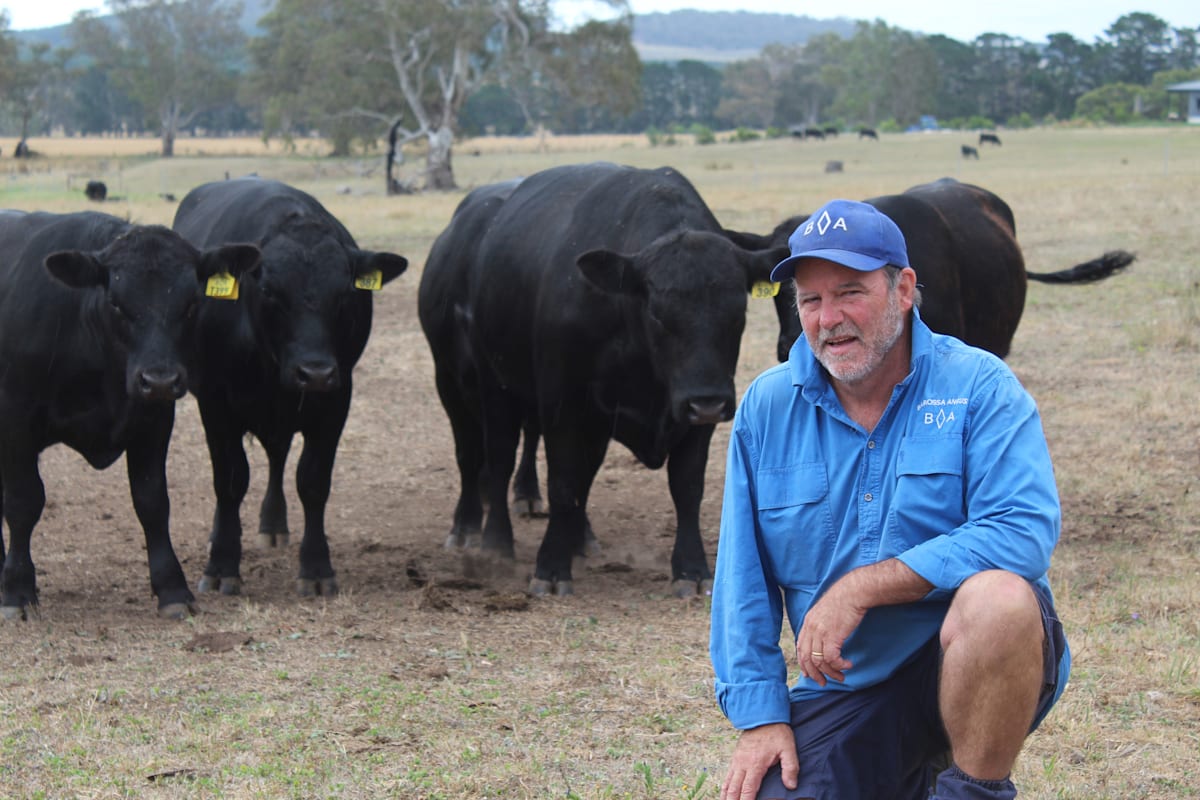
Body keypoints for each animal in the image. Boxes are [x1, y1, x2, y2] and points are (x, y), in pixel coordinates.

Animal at [0, 210, 260, 620]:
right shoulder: (15, 419)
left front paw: (172, 588)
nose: (159, 379)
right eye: (117, 303)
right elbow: (24, 502)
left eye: (191, 303)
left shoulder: (153, 420)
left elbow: (152, 501)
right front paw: (17, 591)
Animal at [171, 177, 408, 598]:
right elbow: (230, 481)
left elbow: (312, 481)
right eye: (269, 291)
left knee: (278, 456)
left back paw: (273, 525)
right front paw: (222, 565)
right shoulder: (215, 405)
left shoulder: (336, 400)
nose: (314, 372)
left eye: (345, 293)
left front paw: (315, 568)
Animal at [418, 162, 781, 597]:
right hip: (487, 386)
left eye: (738, 310)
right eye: (657, 312)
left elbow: (686, 487)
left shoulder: (693, 417)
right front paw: (550, 568)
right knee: (494, 457)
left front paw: (691, 570)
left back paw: (579, 539)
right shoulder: (562, 406)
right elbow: (561, 481)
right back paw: (493, 542)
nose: (707, 401)